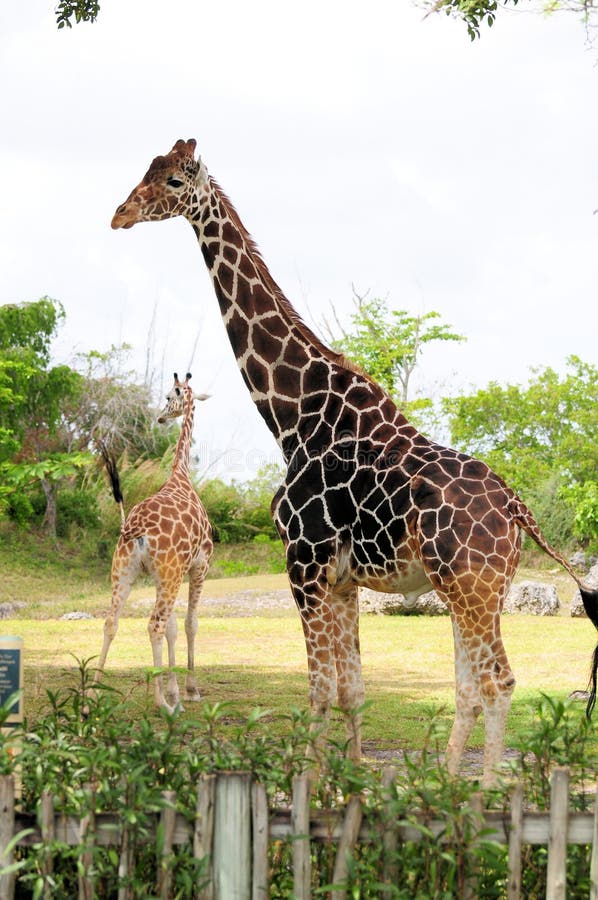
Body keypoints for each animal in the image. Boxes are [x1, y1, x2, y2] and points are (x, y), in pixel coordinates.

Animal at [95, 371, 213, 713]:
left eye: (167, 397)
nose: (160, 417)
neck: (181, 475)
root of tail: (135, 530)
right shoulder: (199, 566)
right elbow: (189, 623)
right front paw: (188, 692)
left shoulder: (165, 577)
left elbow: (174, 628)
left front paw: (176, 692)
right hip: (168, 574)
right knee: (154, 625)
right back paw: (162, 704)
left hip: (124, 571)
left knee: (111, 622)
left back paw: (90, 697)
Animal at [111, 139, 598, 785]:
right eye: (144, 169)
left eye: (170, 180)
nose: (119, 215)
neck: (294, 418)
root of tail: (519, 511)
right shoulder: (342, 580)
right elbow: (352, 691)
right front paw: (348, 778)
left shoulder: (304, 563)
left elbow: (318, 690)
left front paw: (312, 786)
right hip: (479, 589)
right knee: (471, 685)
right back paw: (445, 784)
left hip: (468, 586)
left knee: (498, 681)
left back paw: (480, 793)